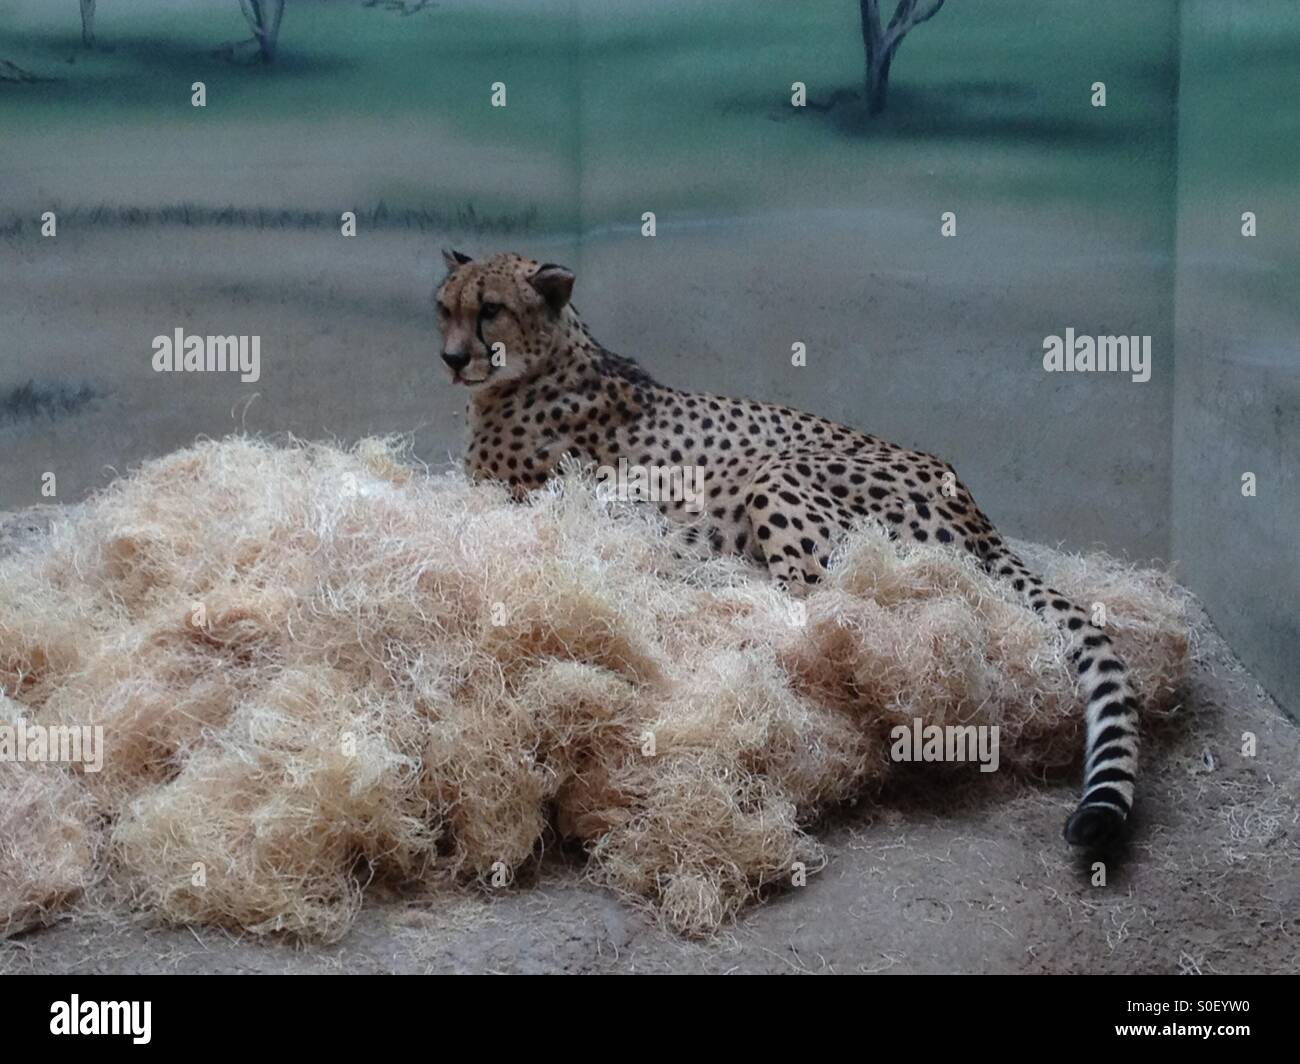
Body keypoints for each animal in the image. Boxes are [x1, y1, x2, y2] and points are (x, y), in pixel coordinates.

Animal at [434, 248, 1140, 850]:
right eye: (444, 307)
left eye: (490, 308)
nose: (450, 359)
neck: (551, 359)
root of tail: (975, 509)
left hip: (779, 475)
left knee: (824, 605)